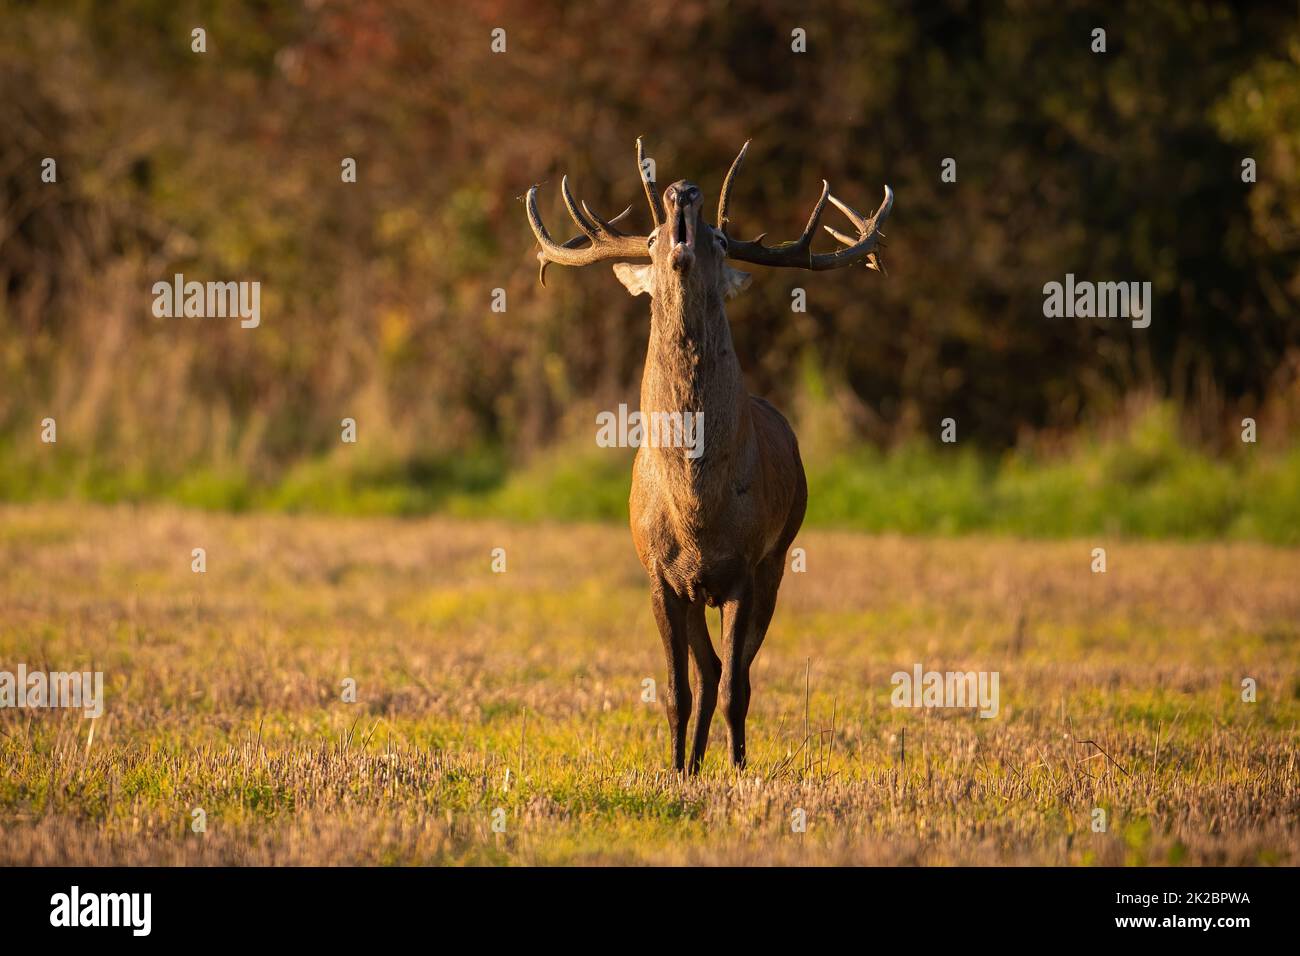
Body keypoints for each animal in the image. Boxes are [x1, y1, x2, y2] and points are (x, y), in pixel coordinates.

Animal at [526, 139, 892, 773]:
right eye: (650, 238)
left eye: (721, 241)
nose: (683, 191)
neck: (697, 508)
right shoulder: (659, 574)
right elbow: (677, 688)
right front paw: (674, 771)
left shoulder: (748, 567)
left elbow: (735, 689)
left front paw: (739, 771)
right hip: (699, 592)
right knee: (709, 668)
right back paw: (693, 764)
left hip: (777, 560)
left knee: (732, 671)